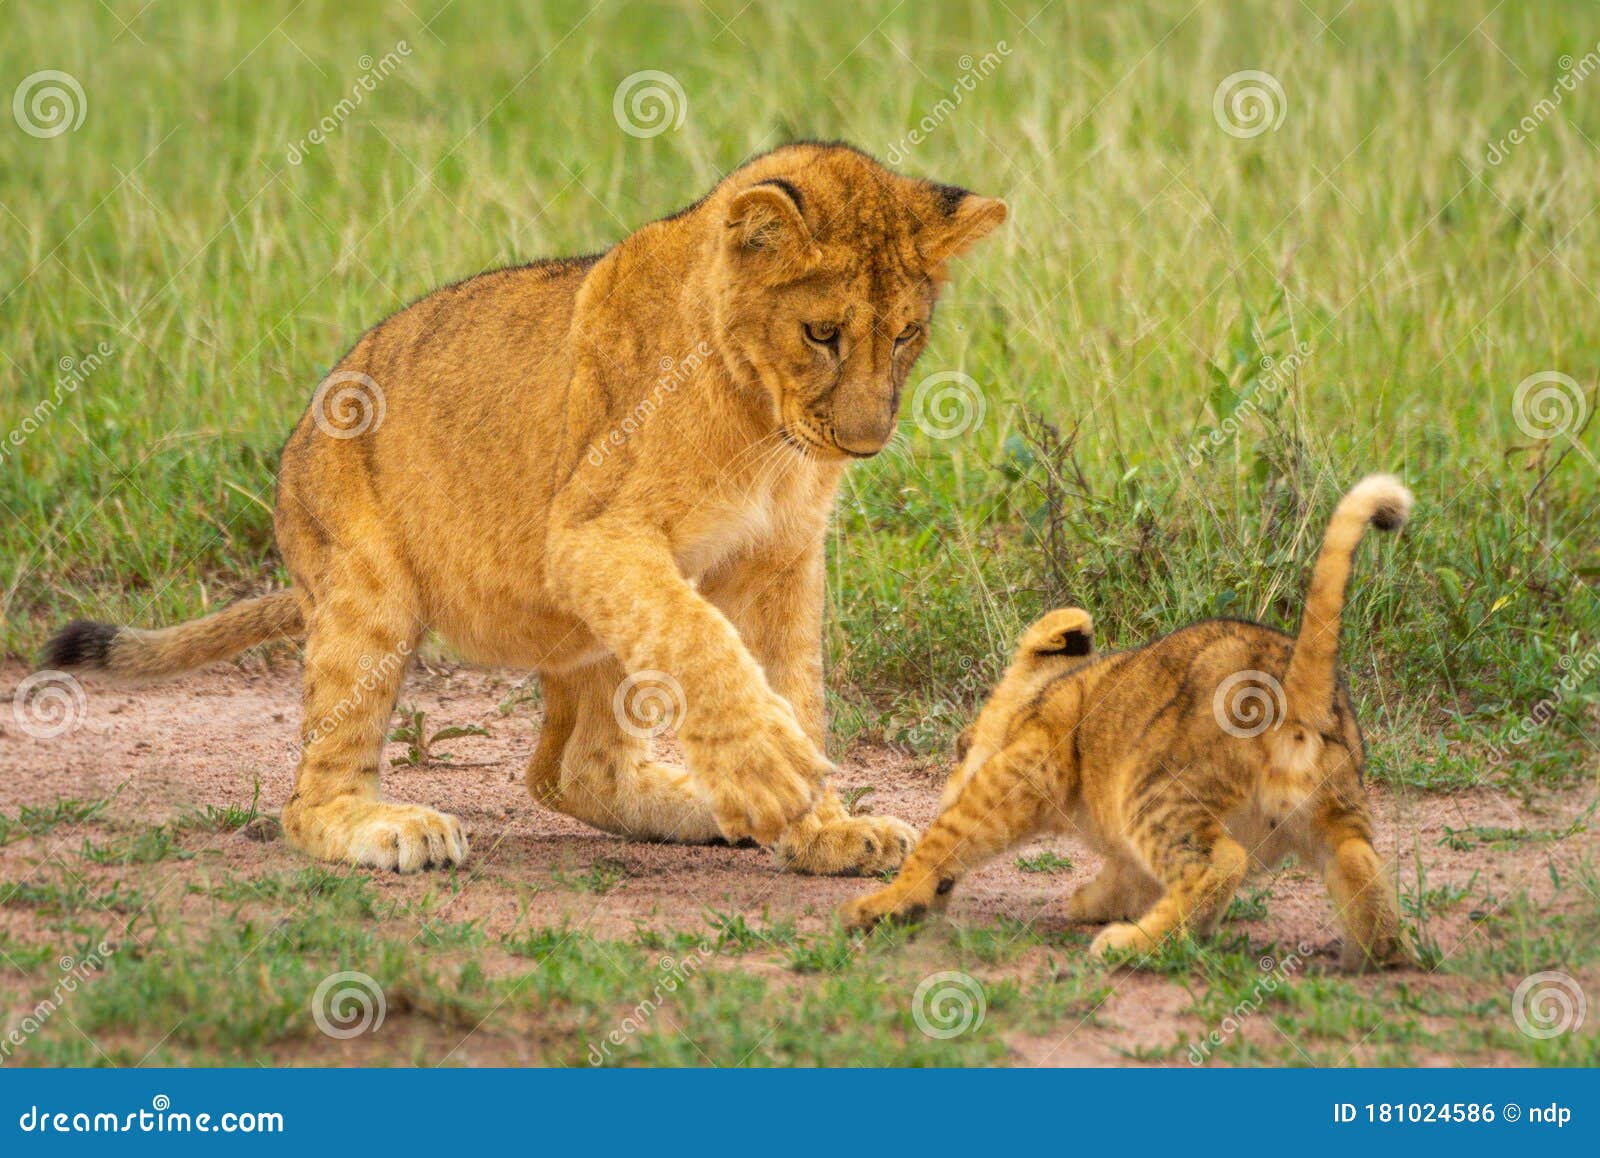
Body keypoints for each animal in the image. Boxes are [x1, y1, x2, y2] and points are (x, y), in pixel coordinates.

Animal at [43, 142, 1008, 875]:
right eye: (821, 334)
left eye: (906, 335)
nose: (864, 444)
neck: (765, 428)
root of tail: (298, 440)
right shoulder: (590, 535)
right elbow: (703, 642)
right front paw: (775, 777)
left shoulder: (779, 561)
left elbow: (792, 683)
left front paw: (822, 827)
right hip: (367, 589)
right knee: (308, 795)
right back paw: (389, 827)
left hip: (587, 635)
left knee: (572, 771)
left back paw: (708, 807)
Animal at [841, 475, 1413, 971]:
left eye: (960, 749)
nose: (952, 768)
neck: (1043, 696)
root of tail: (1295, 686)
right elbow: (1126, 877)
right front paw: (1089, 902)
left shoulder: (1026, 766)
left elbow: (944, 837)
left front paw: (882, 904)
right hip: (1335, 808)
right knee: (1358, 861)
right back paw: (1376, 955)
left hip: (1155, 792)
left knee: (1221, 864)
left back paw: (1128, 945)